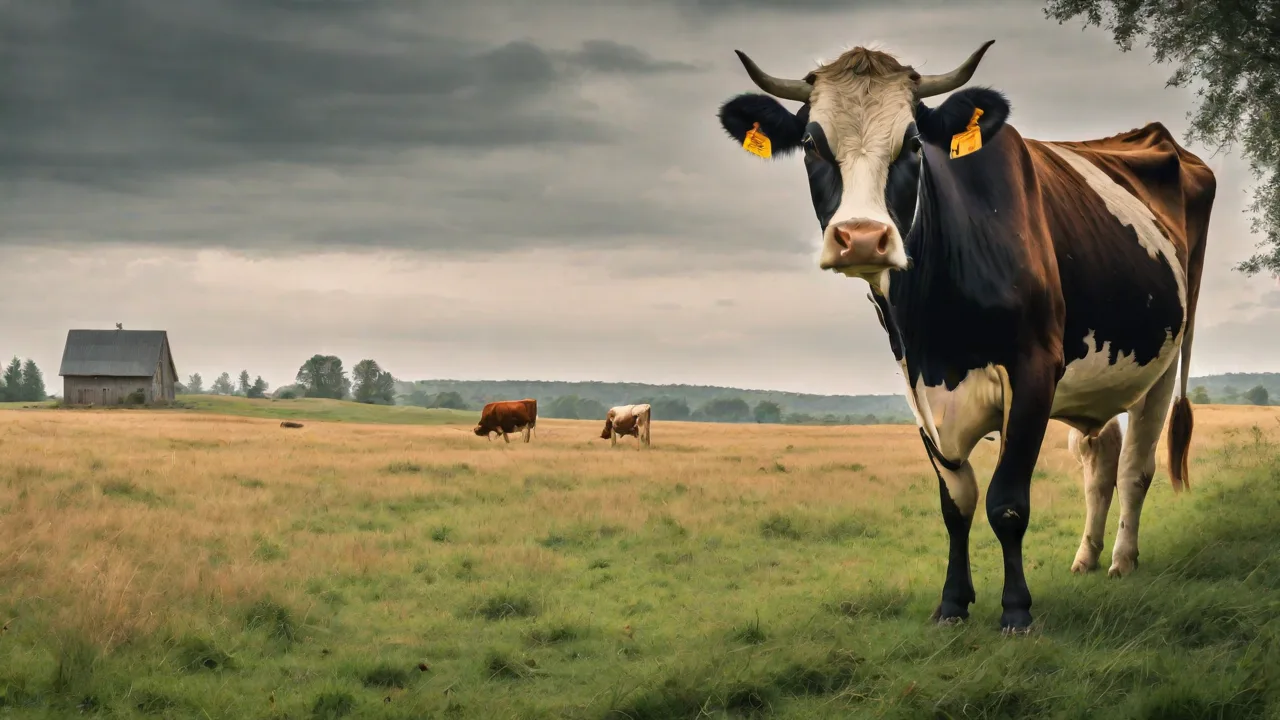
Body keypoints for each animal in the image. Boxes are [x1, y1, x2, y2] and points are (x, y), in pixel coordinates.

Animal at [715, 40, 1213, 633]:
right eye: (813, 143)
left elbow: (1007, 502)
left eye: (912, 143)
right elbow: (956, 501)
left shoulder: (1034, 369)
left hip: (1166, 359)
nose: (862, 238)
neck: (939, 331)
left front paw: (1016, 610)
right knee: (1100, 459)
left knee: (1137, 466)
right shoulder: (917, 383)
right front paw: (953, 603)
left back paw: (1122, 560)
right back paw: (1086, 558)